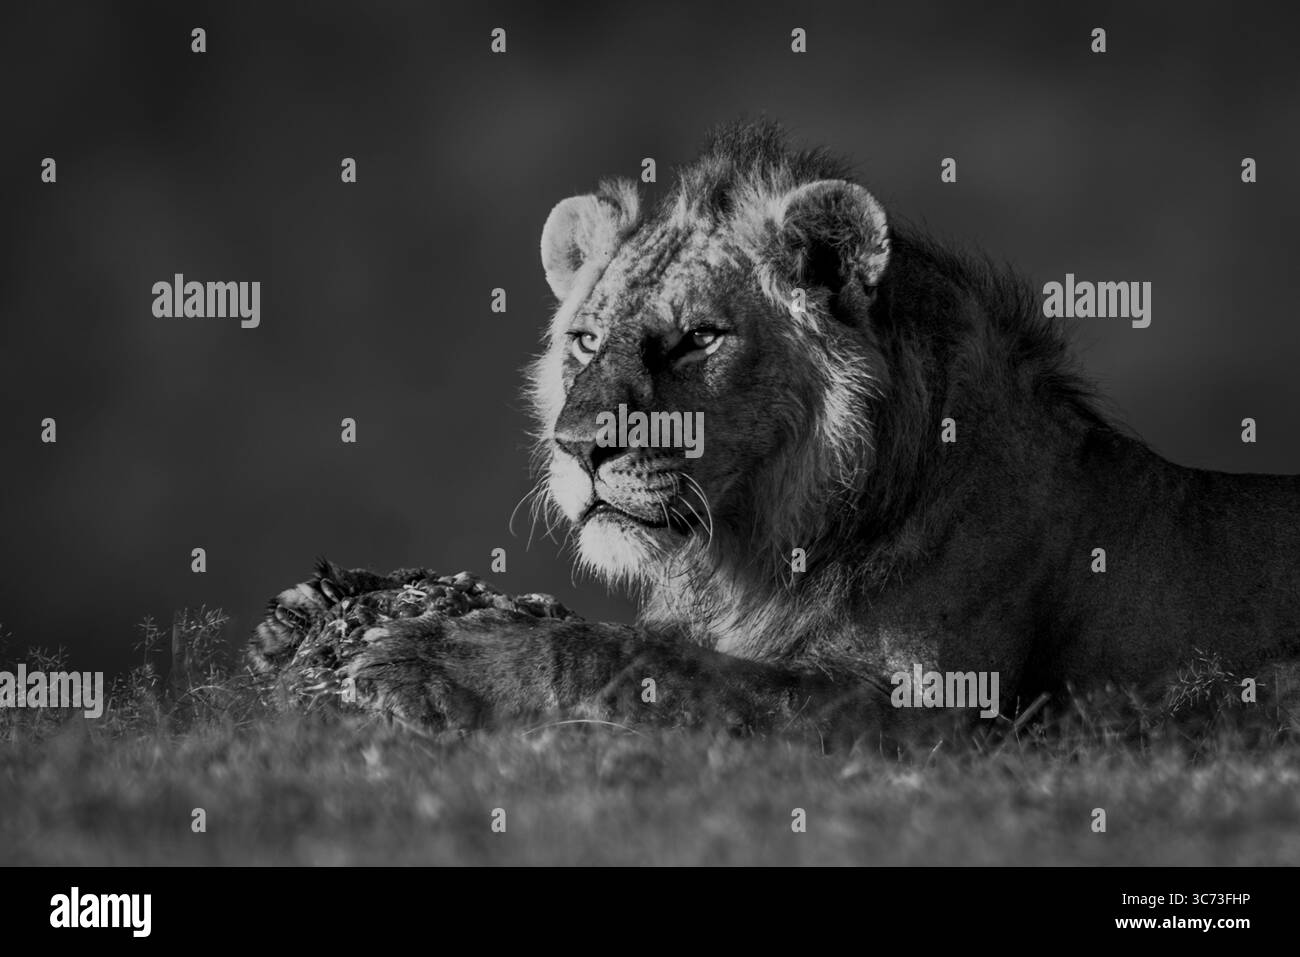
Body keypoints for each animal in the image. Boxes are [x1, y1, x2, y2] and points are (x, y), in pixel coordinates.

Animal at [253, 120, 1300, 738]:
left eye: (697, 339)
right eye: (587, 337)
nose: (578, 445)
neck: (753, 551)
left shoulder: (938, 716)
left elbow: (660, 662)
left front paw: (436, 654)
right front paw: (310, 619)